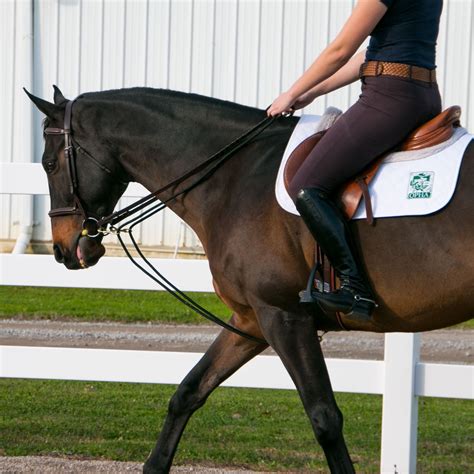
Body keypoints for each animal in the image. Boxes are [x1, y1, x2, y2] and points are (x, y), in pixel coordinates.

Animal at [26, 86, 474, 474]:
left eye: (49, 164)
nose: (65, 249)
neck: (234, 177)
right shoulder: (251, 321)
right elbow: (188, 392)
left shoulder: (285, 317)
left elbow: (325, 418)